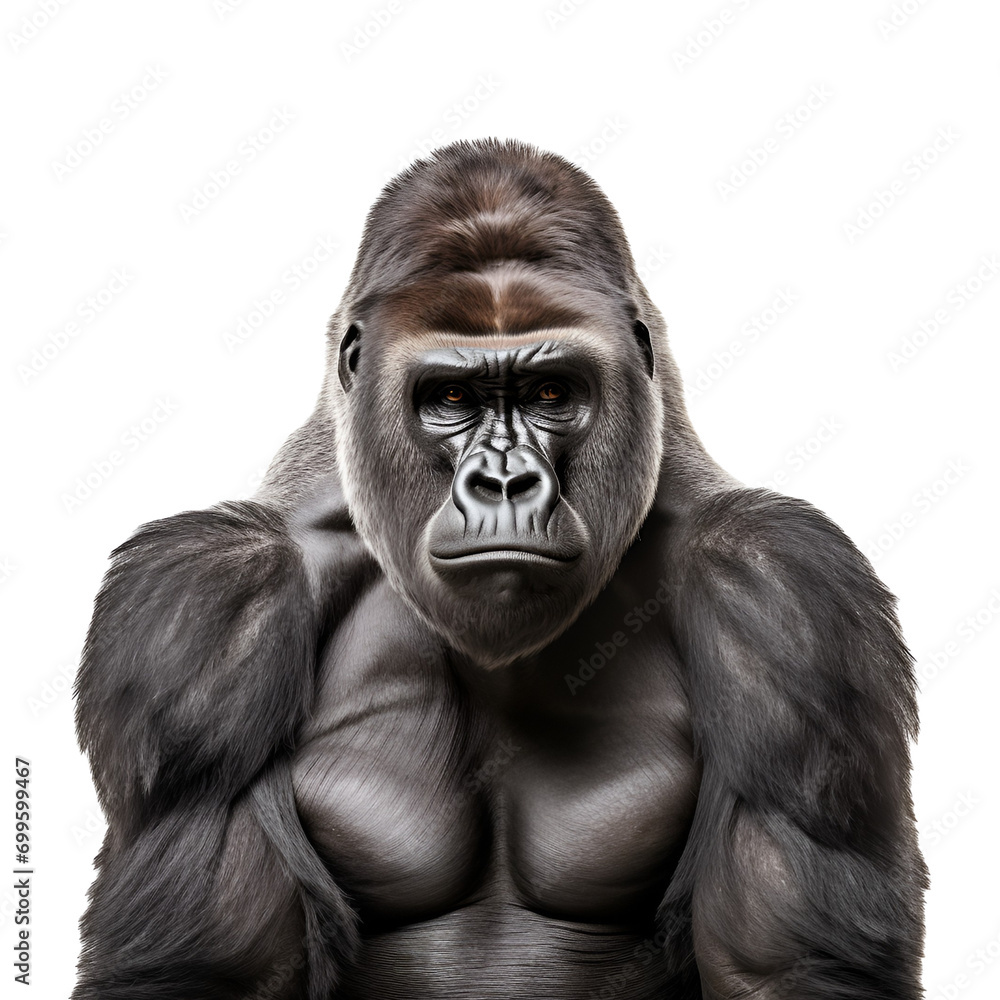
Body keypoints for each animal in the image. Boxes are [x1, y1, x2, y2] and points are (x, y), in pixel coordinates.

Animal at [73, 138, 926, 999]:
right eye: (450, 398)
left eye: (551, 391)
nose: (506, 484)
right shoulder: (203, 606)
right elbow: (202, 972)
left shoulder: (782, 594)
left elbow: (791, 969)